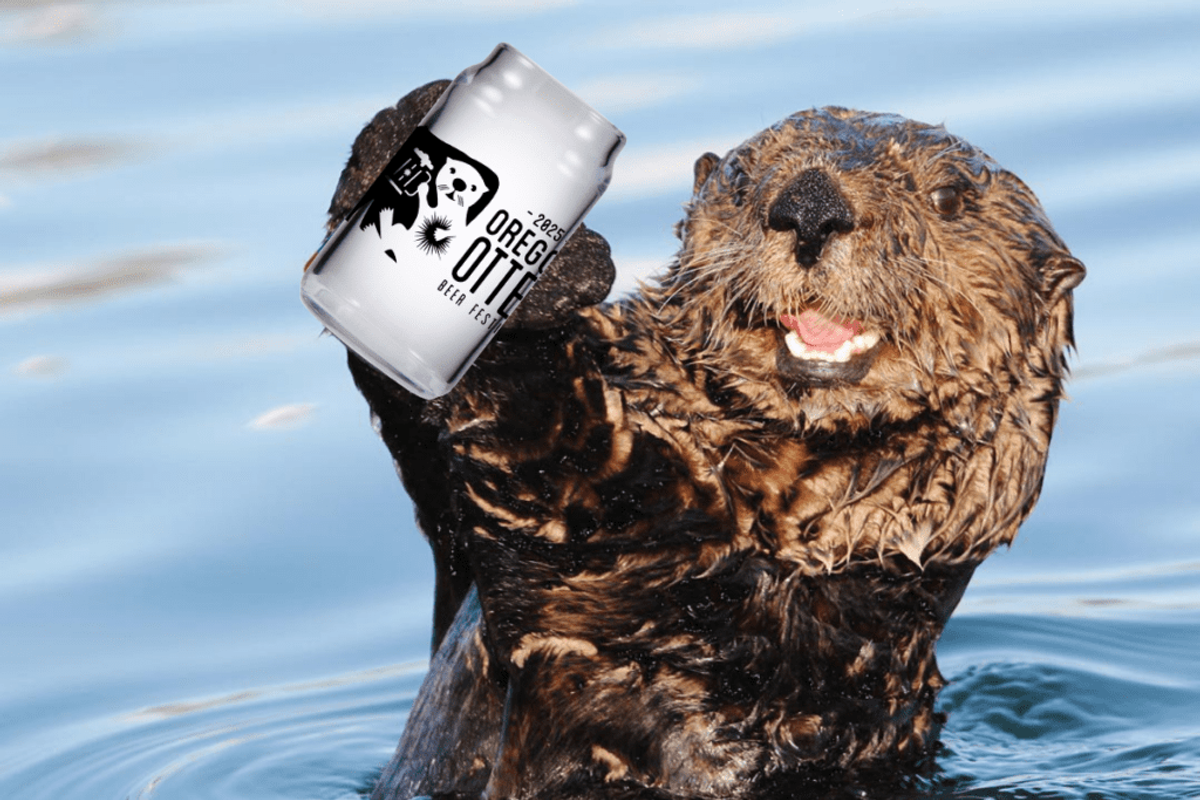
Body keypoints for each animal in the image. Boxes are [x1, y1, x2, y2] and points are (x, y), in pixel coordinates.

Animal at [316, 81, 1084, 800]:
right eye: (743, 180)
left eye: (949, 195)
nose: (810, 205)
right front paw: (417, 141)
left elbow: (563, 465)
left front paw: (544, 271)